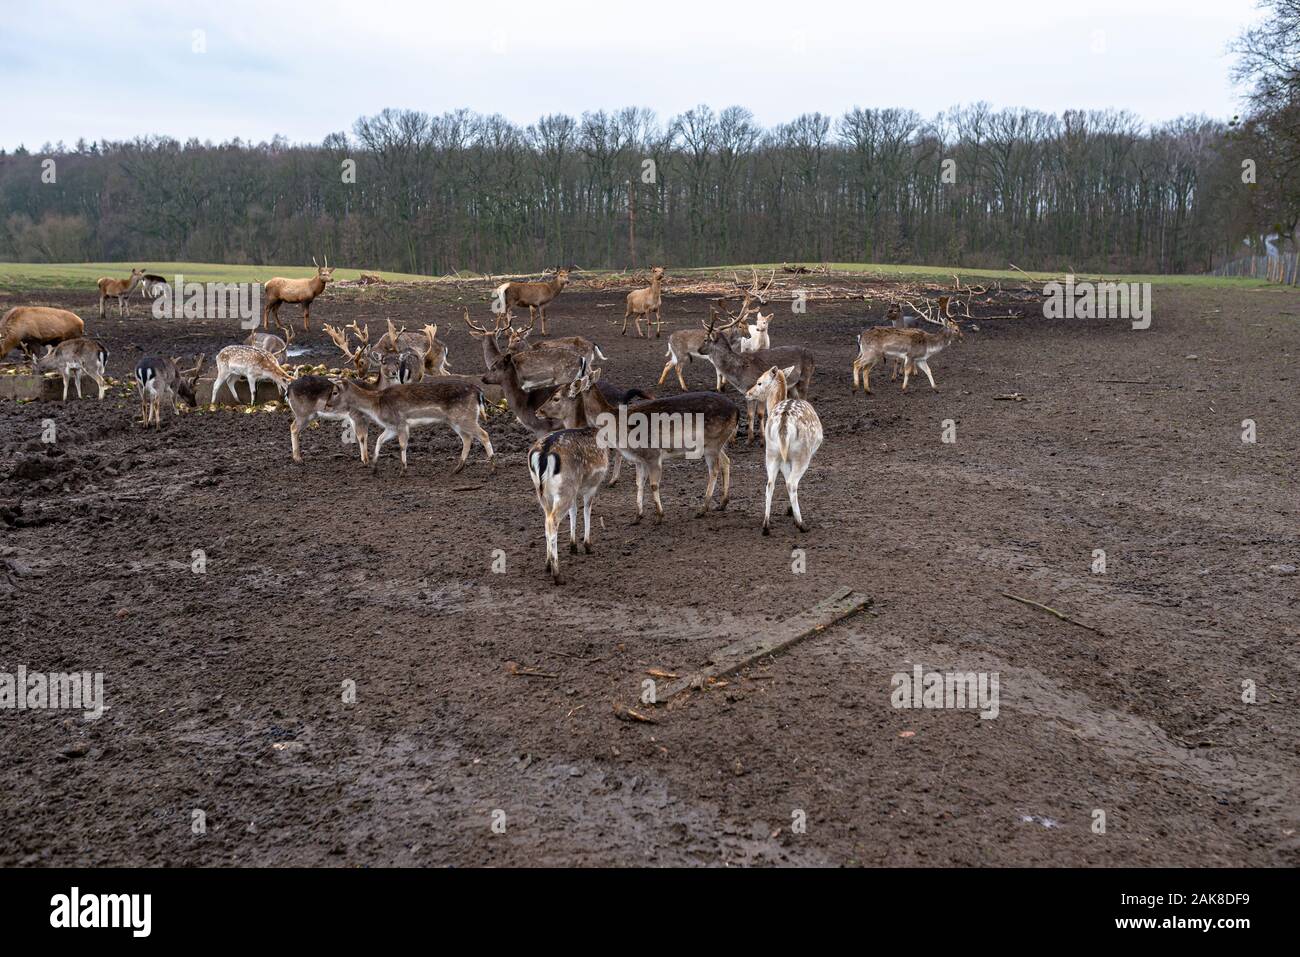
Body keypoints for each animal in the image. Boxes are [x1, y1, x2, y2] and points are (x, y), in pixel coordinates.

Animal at [323, 377, 494, 476]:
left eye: (335, 392)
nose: (327, 405)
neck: (376, 406)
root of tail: (479, 392)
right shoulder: (391, 427)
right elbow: (379, 439)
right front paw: (374, 467)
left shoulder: (401, 422)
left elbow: (402, 444)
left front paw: (402, 470)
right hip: (455, 420)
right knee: (467, 438)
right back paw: (457, 468)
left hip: (464, 417)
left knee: (483, 434)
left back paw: (492, 466)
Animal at [702, 309, 815, 444]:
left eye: (705, 339)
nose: (699, 350)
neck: (738, 372)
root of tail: (812, 355)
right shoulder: (746, 392)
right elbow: (750, 415)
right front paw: (749, 439)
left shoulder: (756, 390)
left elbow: (760, 414)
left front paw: (761, 438)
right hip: (792, 386)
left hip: (805, 378)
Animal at [745, 365, 824, 535]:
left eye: (759, 382)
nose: (747, 393)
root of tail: (784, 420)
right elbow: (788, 480)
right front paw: (790, 512)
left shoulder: (782, 458)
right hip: (802, 454)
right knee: (792, 483)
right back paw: (801, 524)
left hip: (771, 452)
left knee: (769, 483)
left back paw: (766, 526)